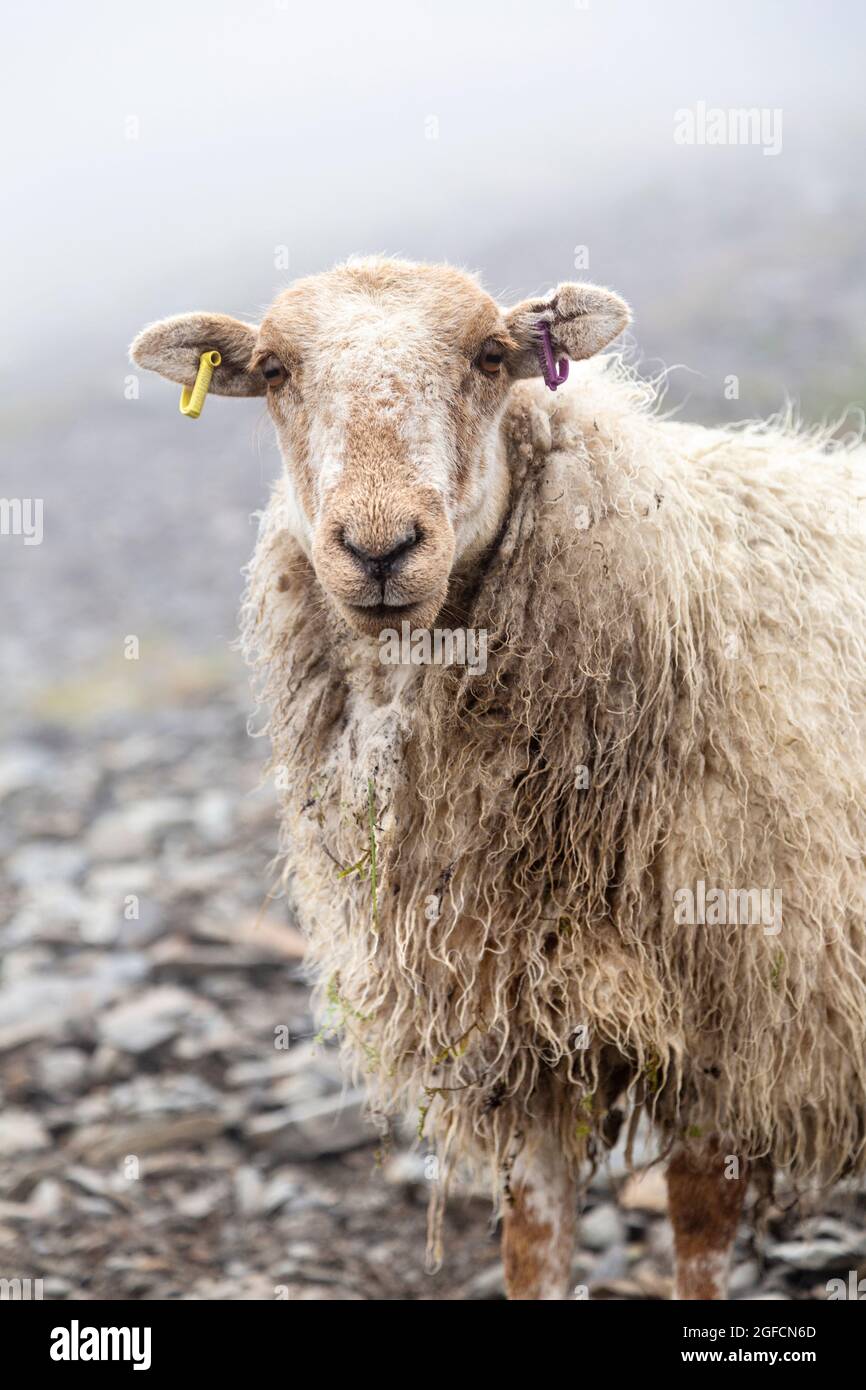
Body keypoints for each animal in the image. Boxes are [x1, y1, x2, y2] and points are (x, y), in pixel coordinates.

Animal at [131, 256, 866, 1301]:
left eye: (489, 355)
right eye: (272, 370)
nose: (380, 547)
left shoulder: (745, 1019)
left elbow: (697, 1229)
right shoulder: (515, 1023)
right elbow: (534, 1235)